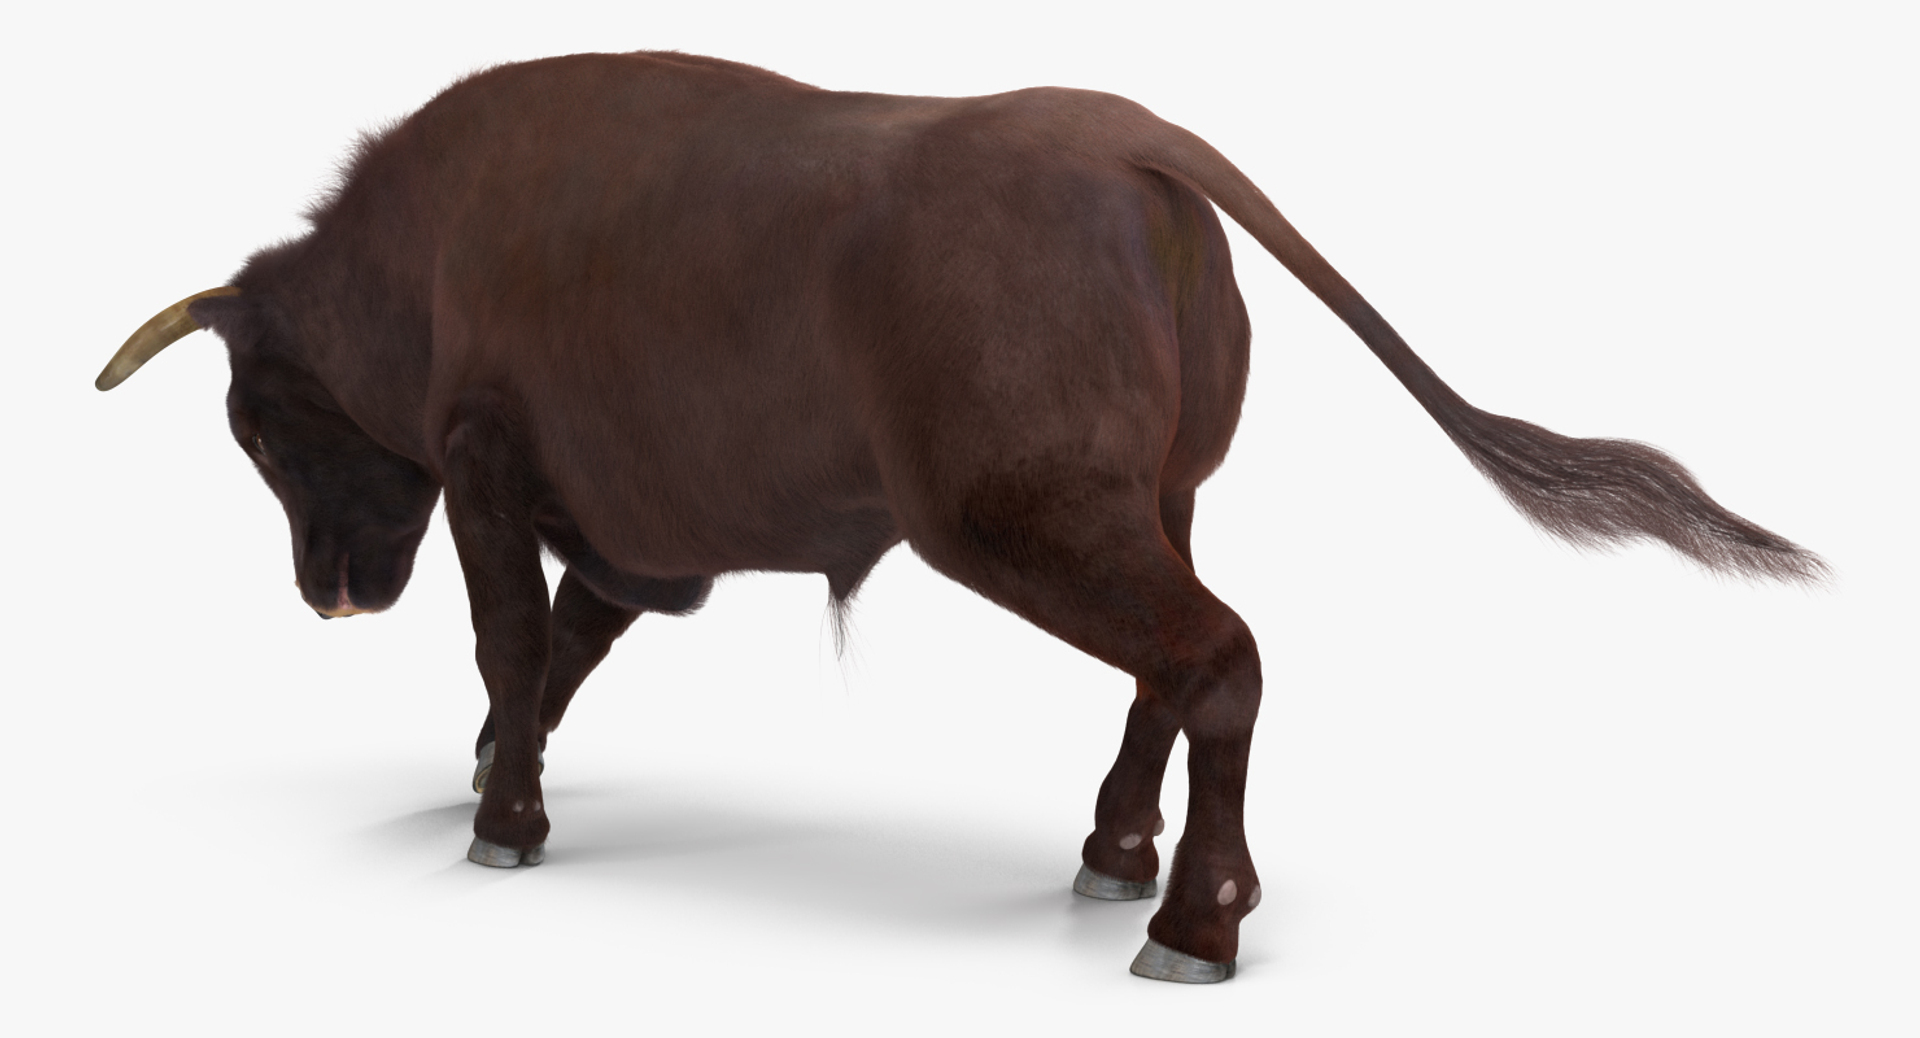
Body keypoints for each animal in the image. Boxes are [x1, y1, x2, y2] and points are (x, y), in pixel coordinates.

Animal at [95, 51, 1822, 983]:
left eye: (260, 425)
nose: (330, 591)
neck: (413, 257)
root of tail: (1122, 132)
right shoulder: (639, 541)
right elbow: (567, 644)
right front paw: (486, 771)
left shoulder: (489, 474)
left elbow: (516, 639)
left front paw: (502, 818)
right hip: (1154, 502)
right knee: (1175, 662)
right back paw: (1118, 854)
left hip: (1026, 519)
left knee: (1220, 654)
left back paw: (1191, 921)